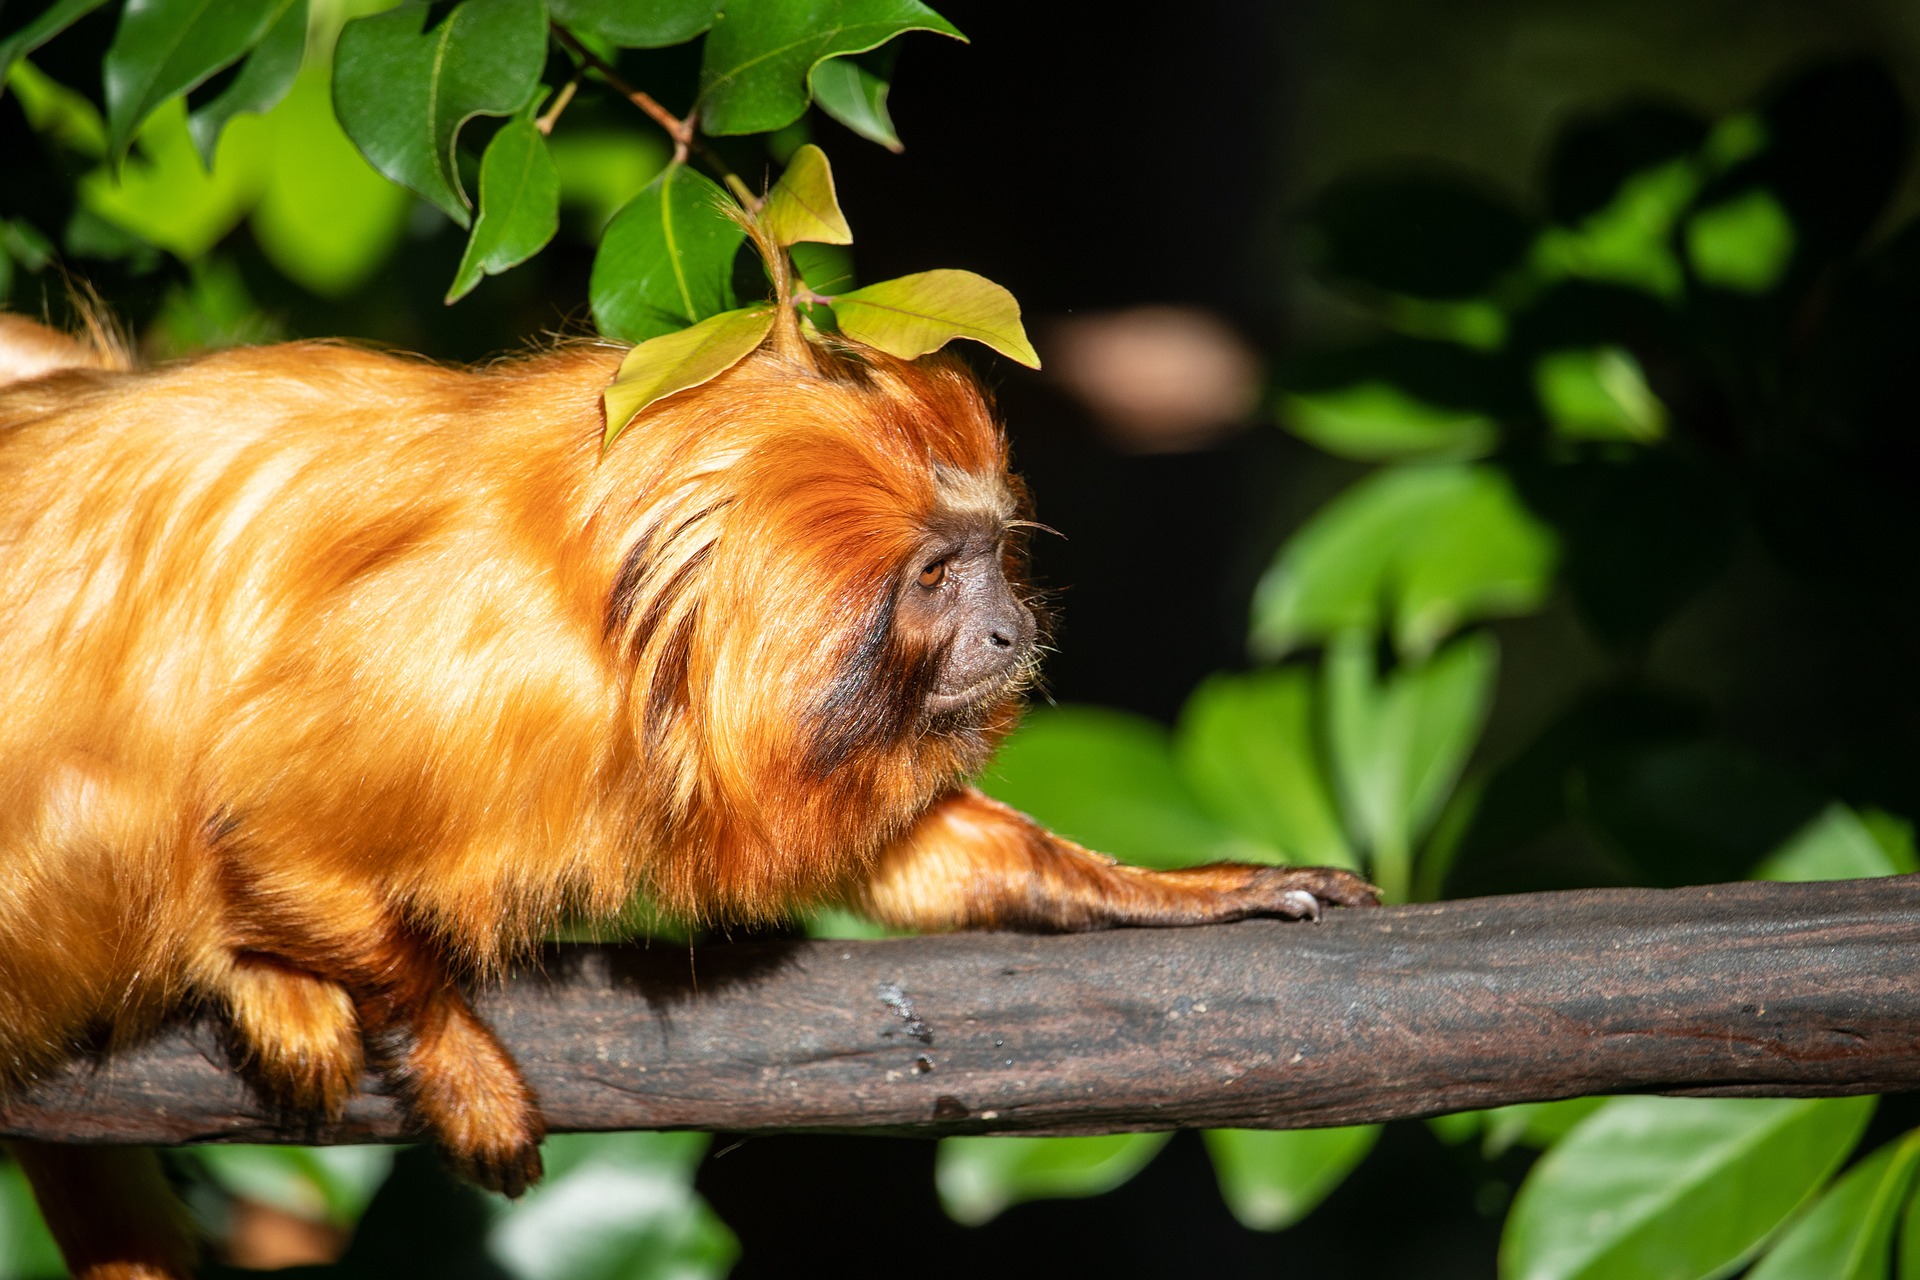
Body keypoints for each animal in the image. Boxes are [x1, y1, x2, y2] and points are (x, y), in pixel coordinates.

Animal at [0, 314, 1376, 1278]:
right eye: (937, 577)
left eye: (990, 557)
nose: (1007, 629)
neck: (643, 636)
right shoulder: (481, 667)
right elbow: (266, 815)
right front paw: (454, 1056)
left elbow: (905, 860)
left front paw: (1190, 892)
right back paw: (261, 978)